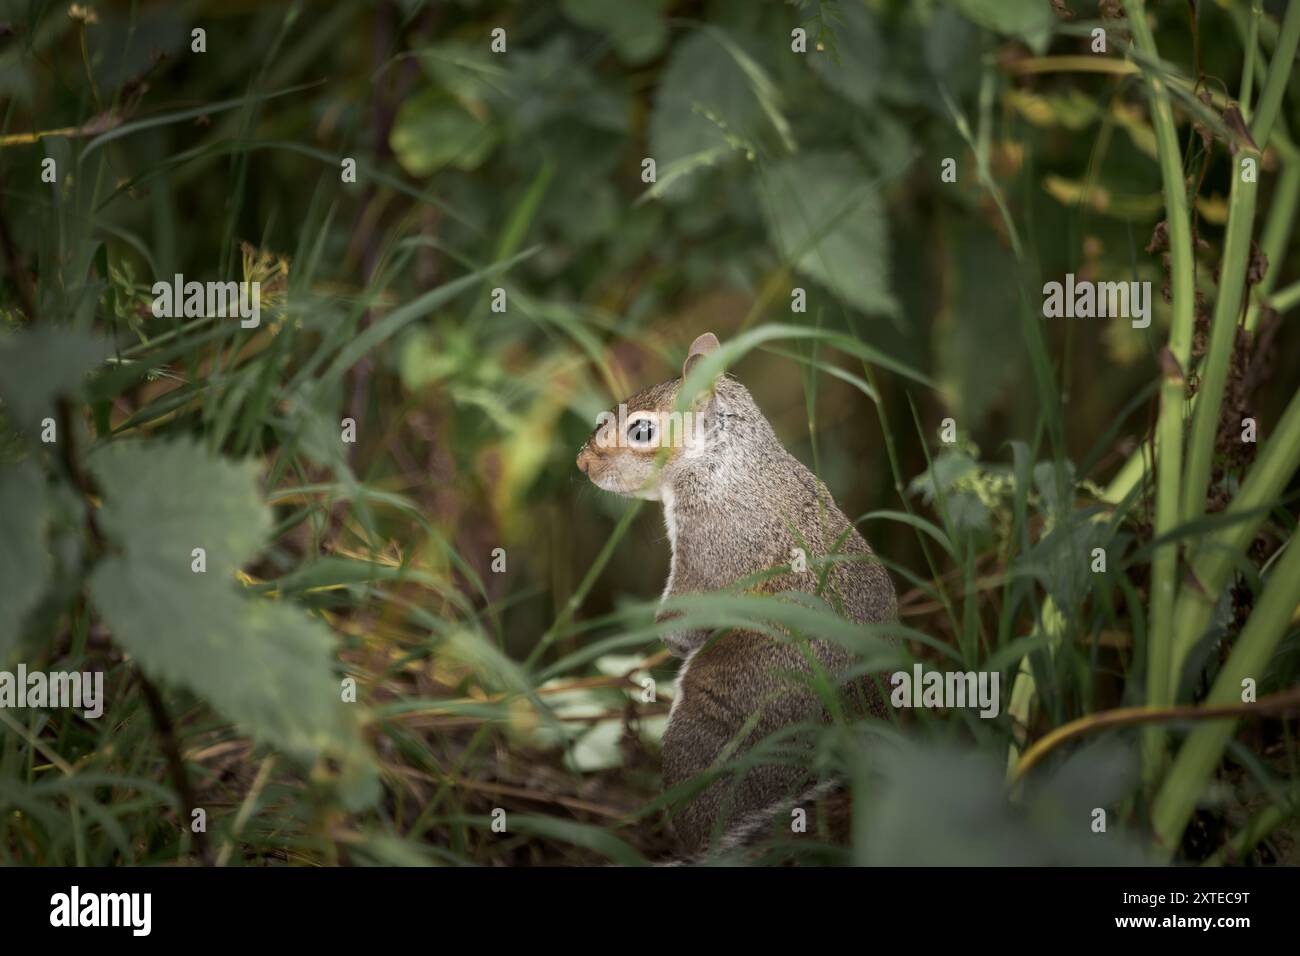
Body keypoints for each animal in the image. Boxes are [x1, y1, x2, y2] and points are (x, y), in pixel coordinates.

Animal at [576, 332, 897, 857]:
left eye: (642, 431)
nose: (583, 463)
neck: (724, 463)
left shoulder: (715, 543)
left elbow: (694, 597)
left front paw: (674, 638)